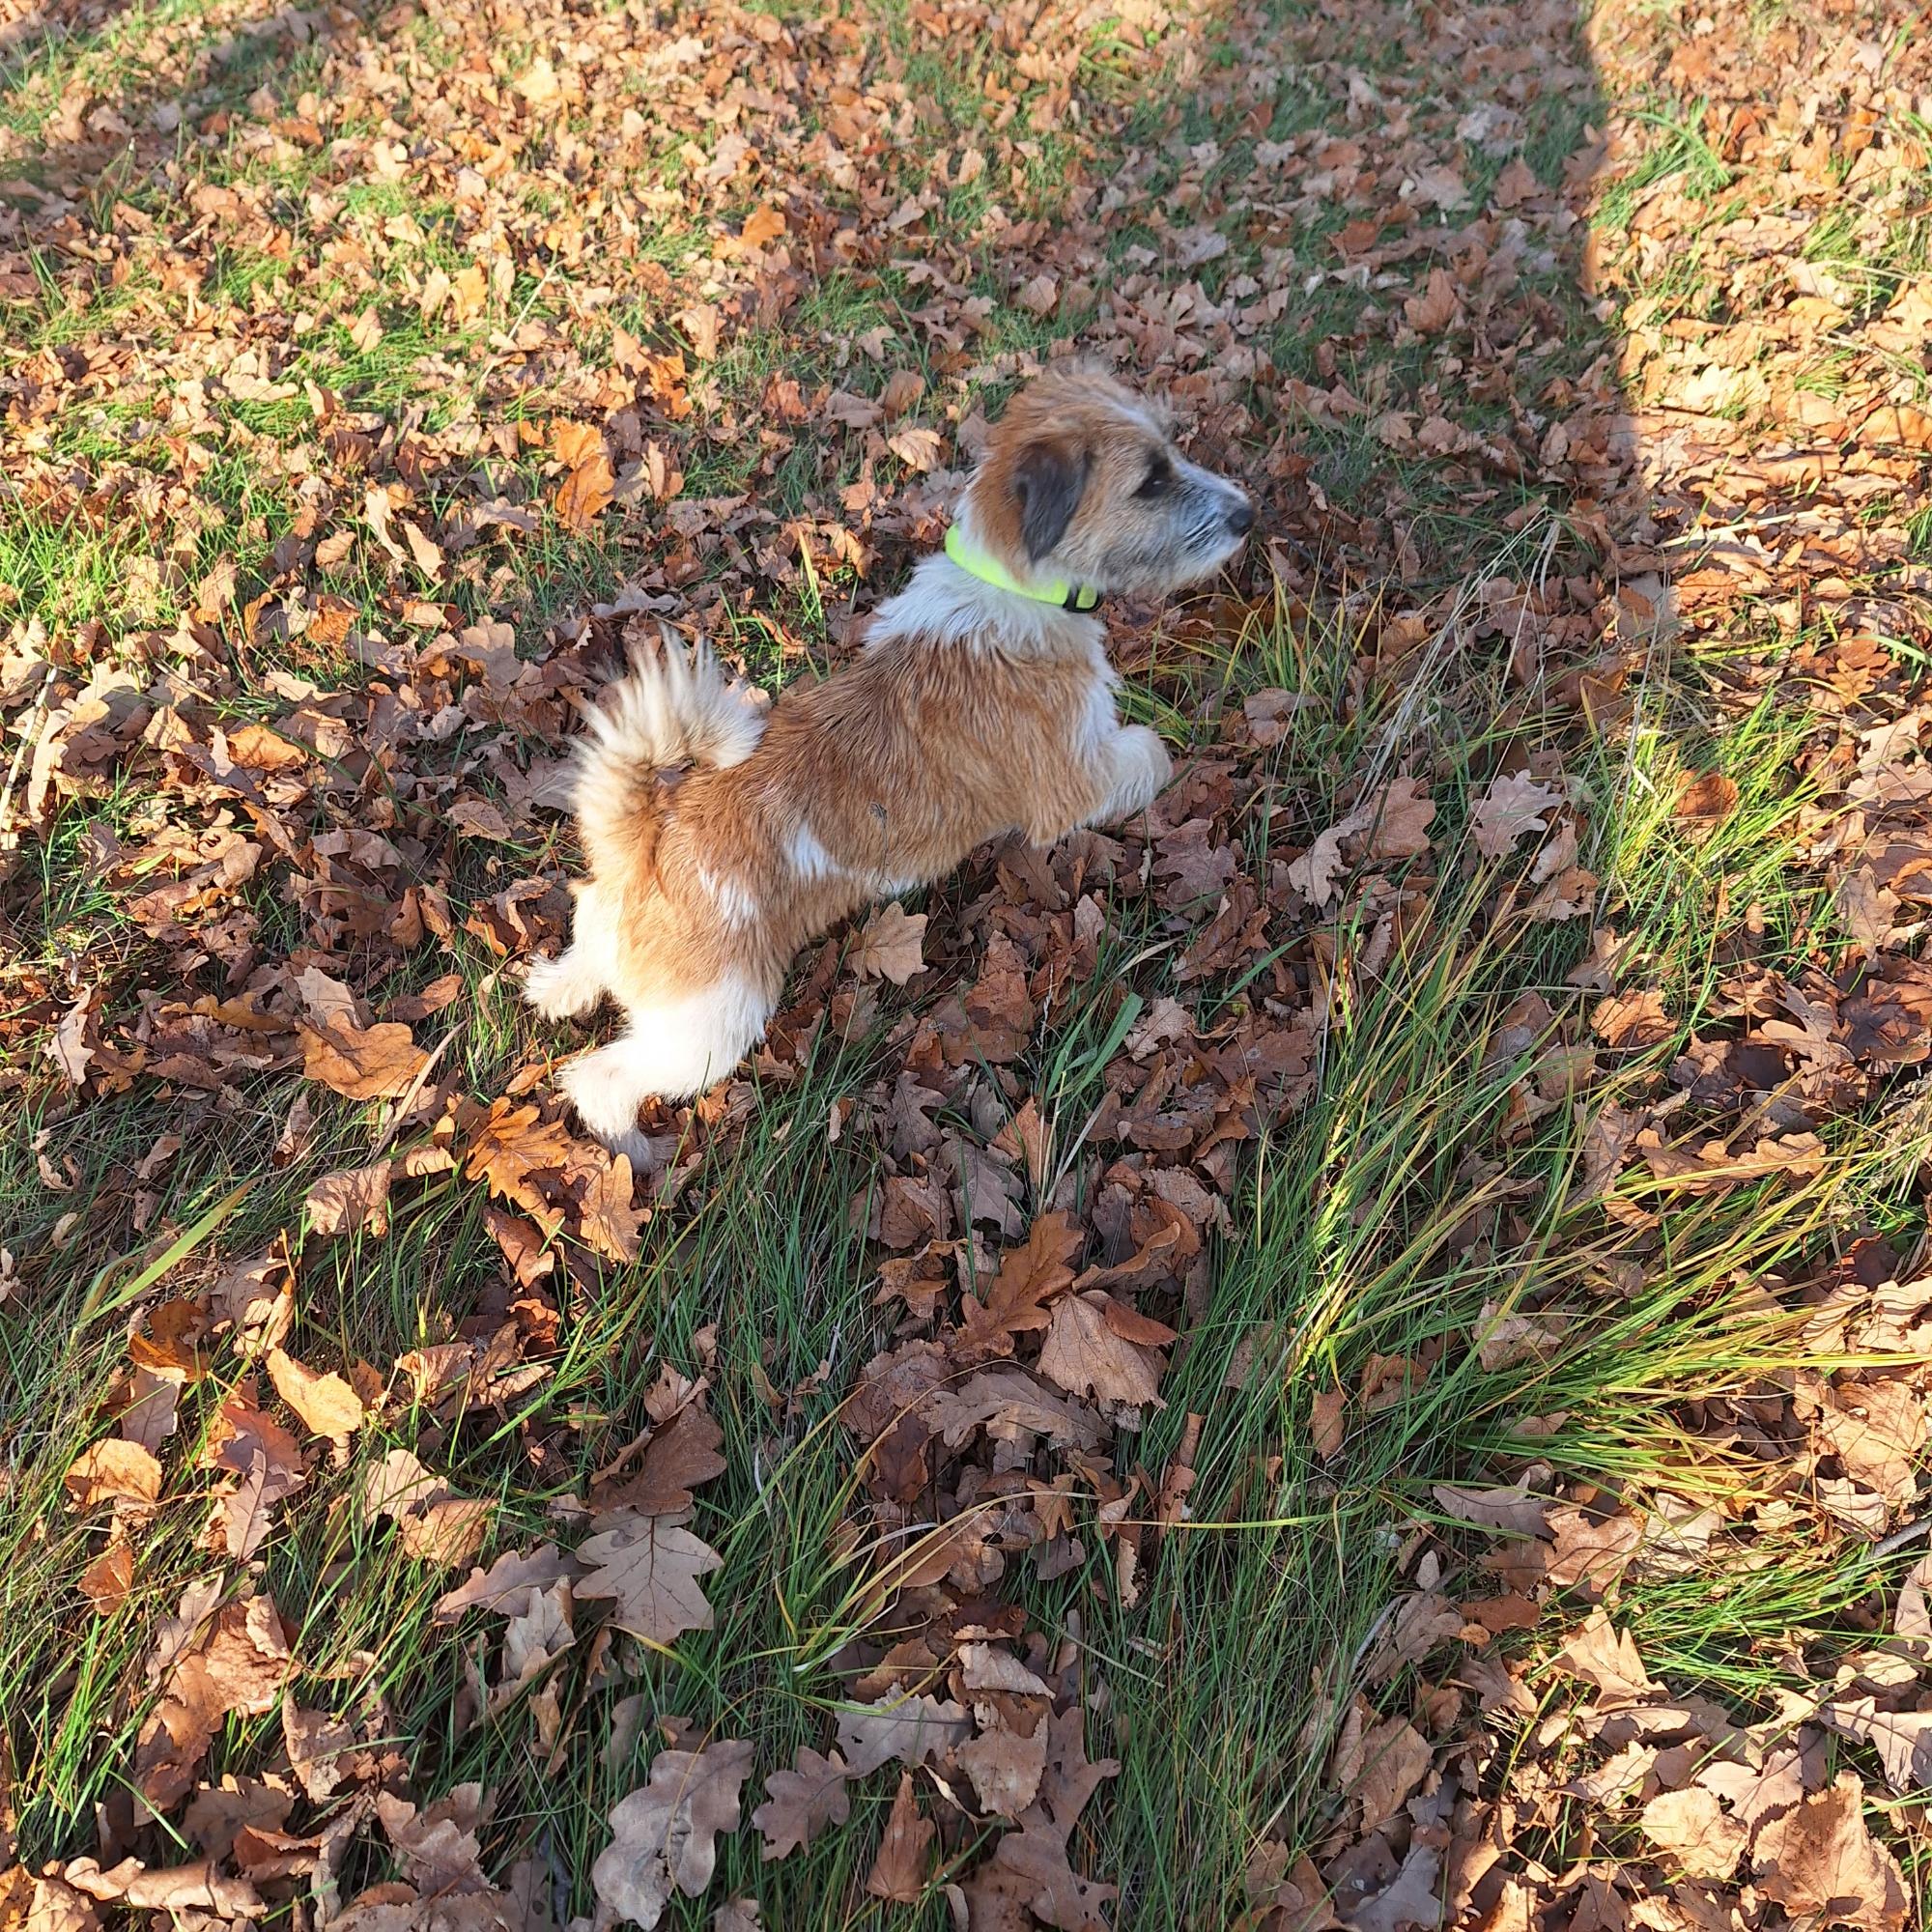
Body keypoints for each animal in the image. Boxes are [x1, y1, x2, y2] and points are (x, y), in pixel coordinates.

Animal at [529, 367, 1252, 1151]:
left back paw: (558, 988)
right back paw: (631, 1145)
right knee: (601, 1078)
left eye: (1171, 455)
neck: (1007, 585)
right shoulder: (1076, 781)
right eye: (1151, 481)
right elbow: (1151, 752)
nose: (1249, 512)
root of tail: (646, 842)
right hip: (709, 1025)